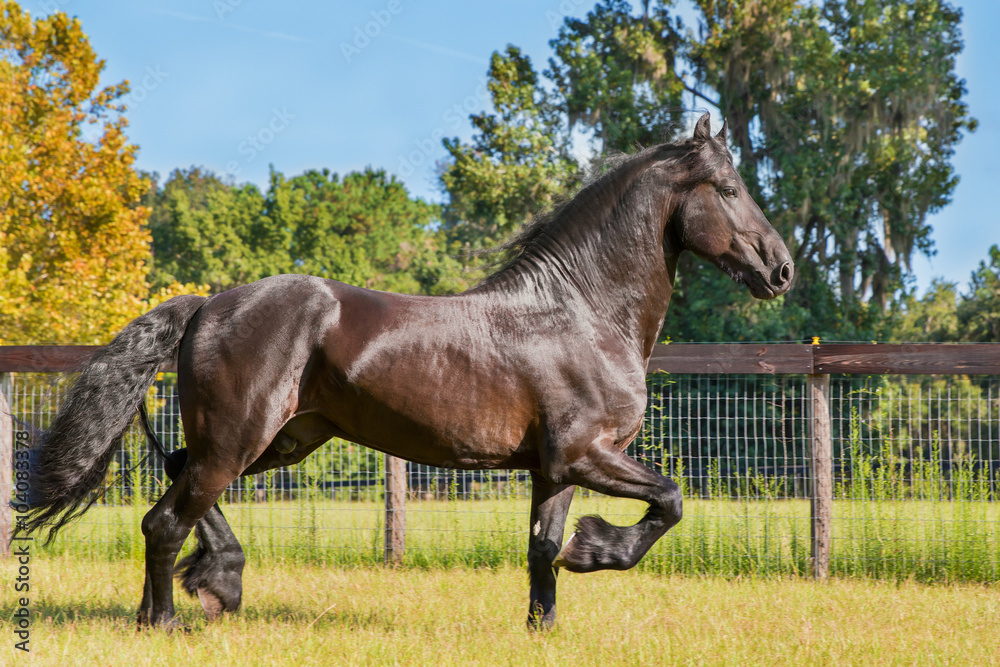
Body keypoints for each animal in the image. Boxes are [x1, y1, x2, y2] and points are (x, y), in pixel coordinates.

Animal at [21, 113, 793, 631]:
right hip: (242, 440)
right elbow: (670, 500)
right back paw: (168, 619)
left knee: (177, 488)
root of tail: (209, 303)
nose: (781, 270)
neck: (579, 310)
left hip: (284, 439)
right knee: (163, 520)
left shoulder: (554, 467)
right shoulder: (587, 453)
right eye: (728, 188)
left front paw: (544, 623)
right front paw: (596, 547)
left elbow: (541, 548)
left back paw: (210, 587)